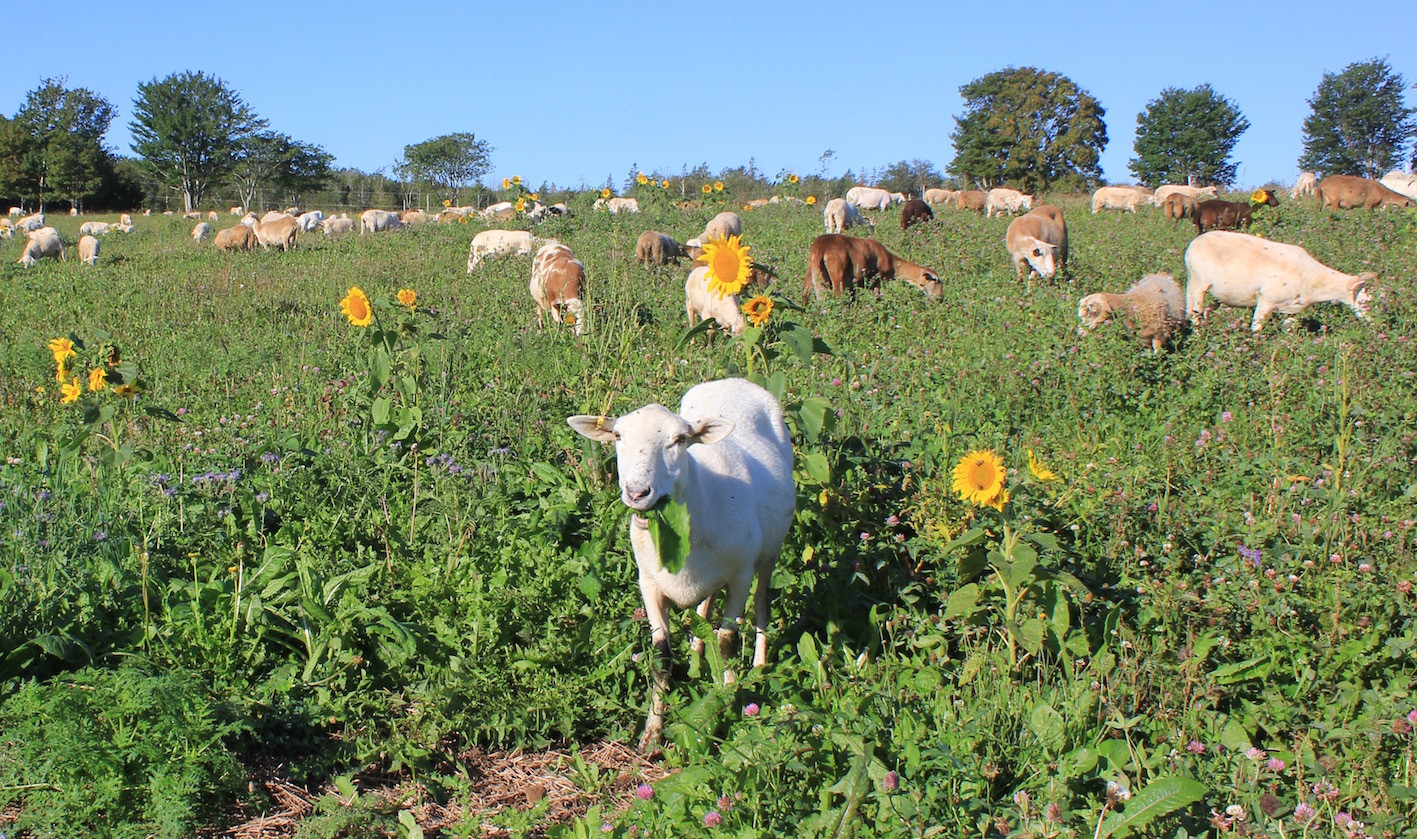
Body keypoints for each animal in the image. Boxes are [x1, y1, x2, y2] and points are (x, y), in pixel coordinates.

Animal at [566, 377, 795, 750]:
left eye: (678, 440)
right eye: (618, 436)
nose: (638, 492)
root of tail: (735, 381)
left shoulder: (740, 575)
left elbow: (727, 640)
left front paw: (729, 696)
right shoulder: (649, 584)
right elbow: (661, 655)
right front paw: (651, 733)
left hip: (768, 554)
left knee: (761, 602)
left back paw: (759, 665)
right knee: (705, 606)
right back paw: (698, 652)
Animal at [802, 233, 942, 303]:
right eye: (935, 280)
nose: (940, 299)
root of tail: (821, 247)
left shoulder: (852, 285)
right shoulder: (879, 282)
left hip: (812, 273)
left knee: (805, 296)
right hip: (837, 276)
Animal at [1184, 230, 1373, 332]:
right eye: (1363, 302)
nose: (1373, 323)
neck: (1311, 278)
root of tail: (1192, 245)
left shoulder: (1291, 310)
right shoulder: (1266, 300)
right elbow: (1256, 330)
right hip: (1199, 283)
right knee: (1196, 313)